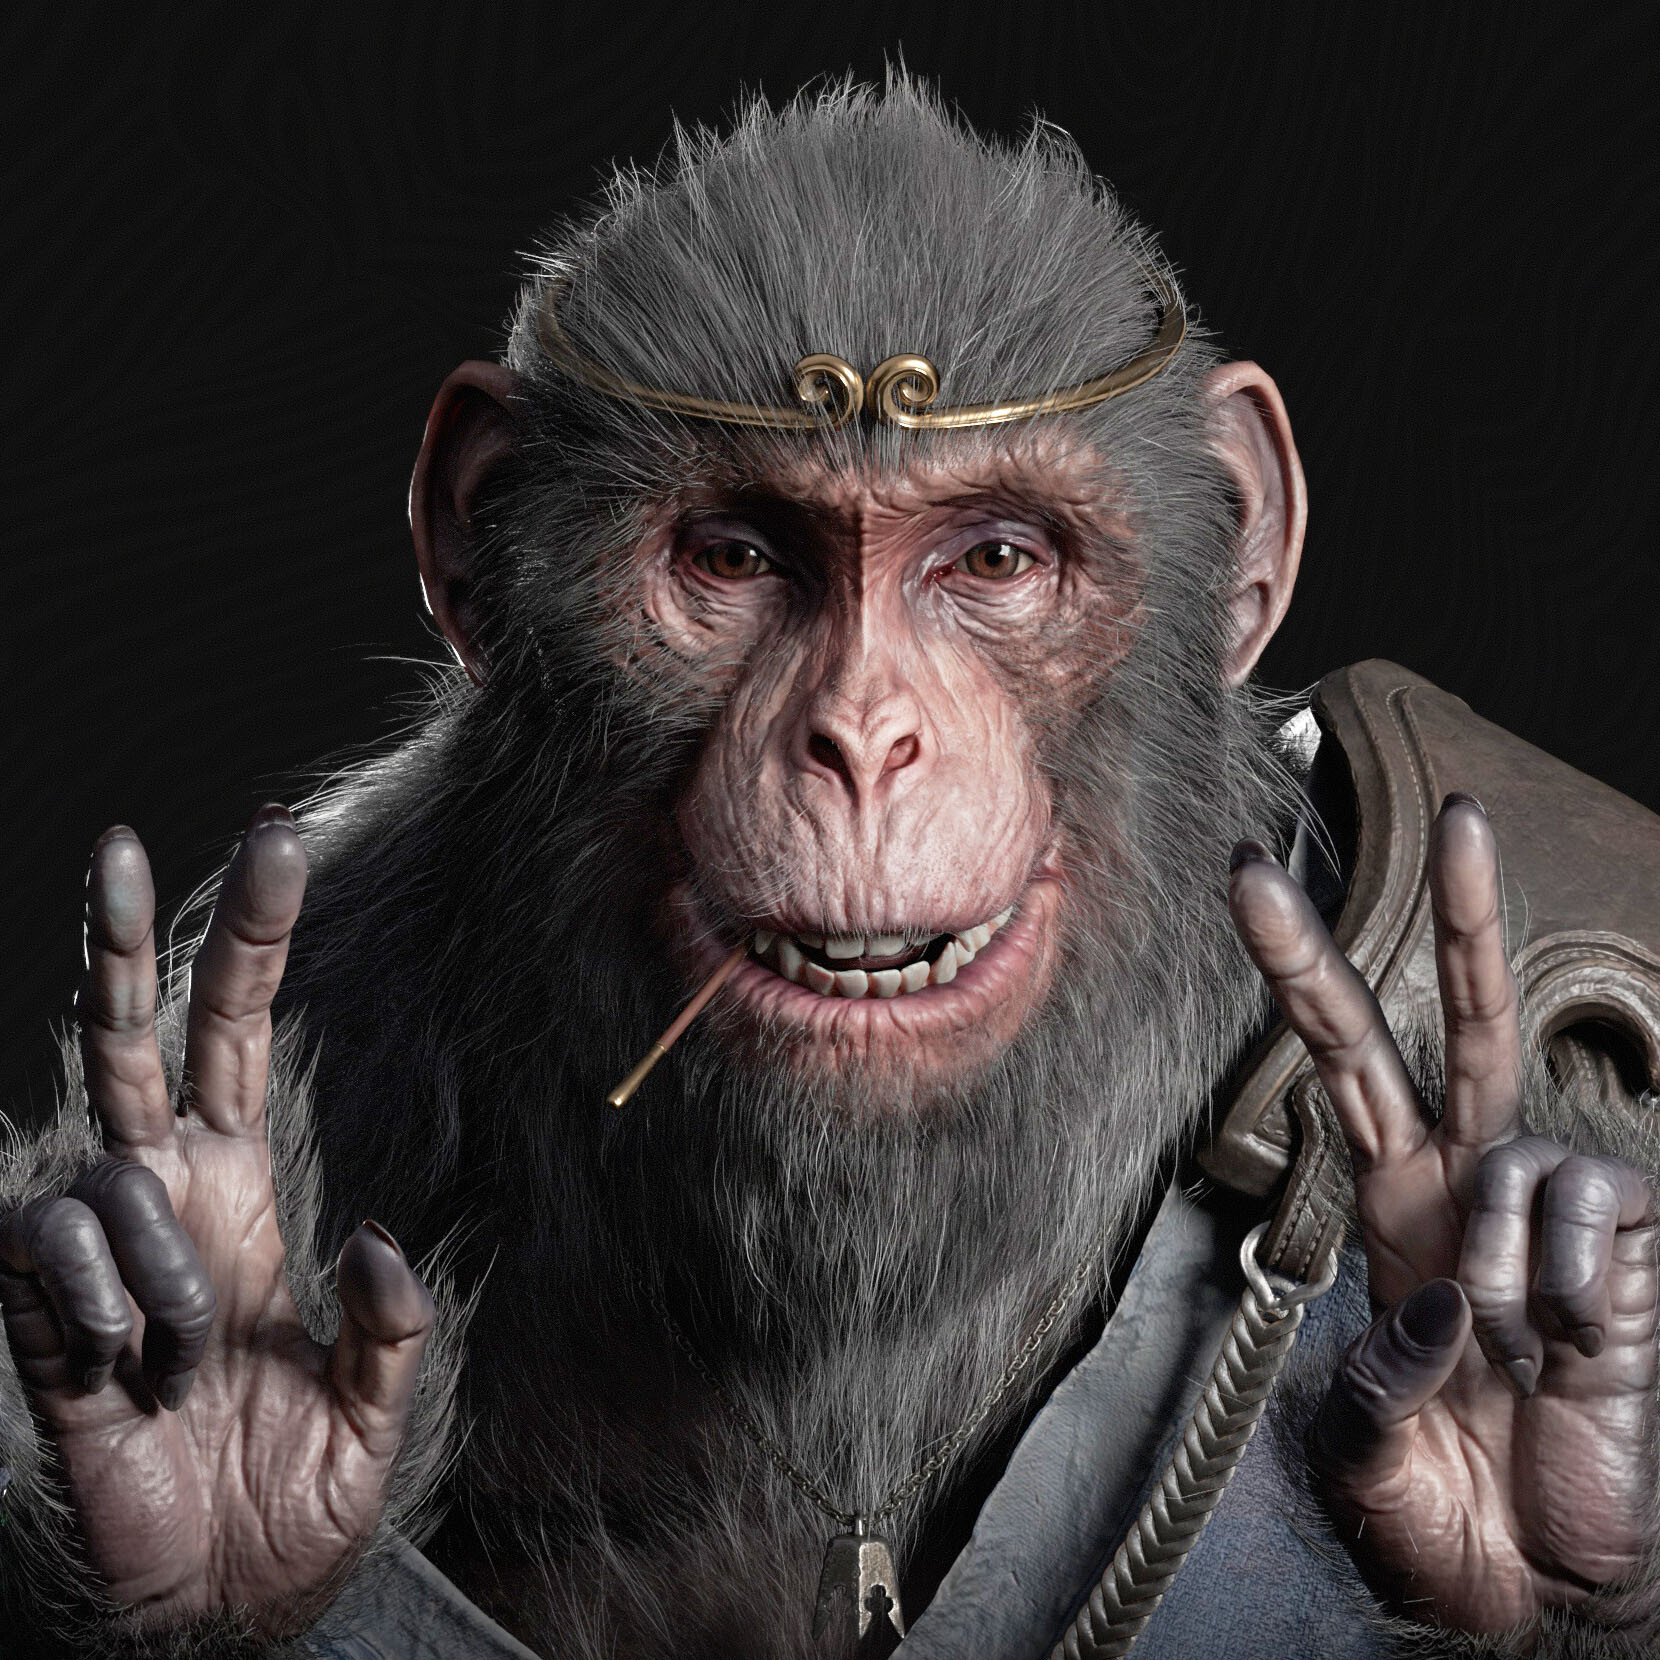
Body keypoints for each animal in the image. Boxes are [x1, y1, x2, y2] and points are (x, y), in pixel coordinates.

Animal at [3, 77, 1658, 1660]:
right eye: (737, 558)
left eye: (997, 559)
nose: (862, 740)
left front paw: (1527, 1404)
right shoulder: (357, 966)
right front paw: (218, 1438)